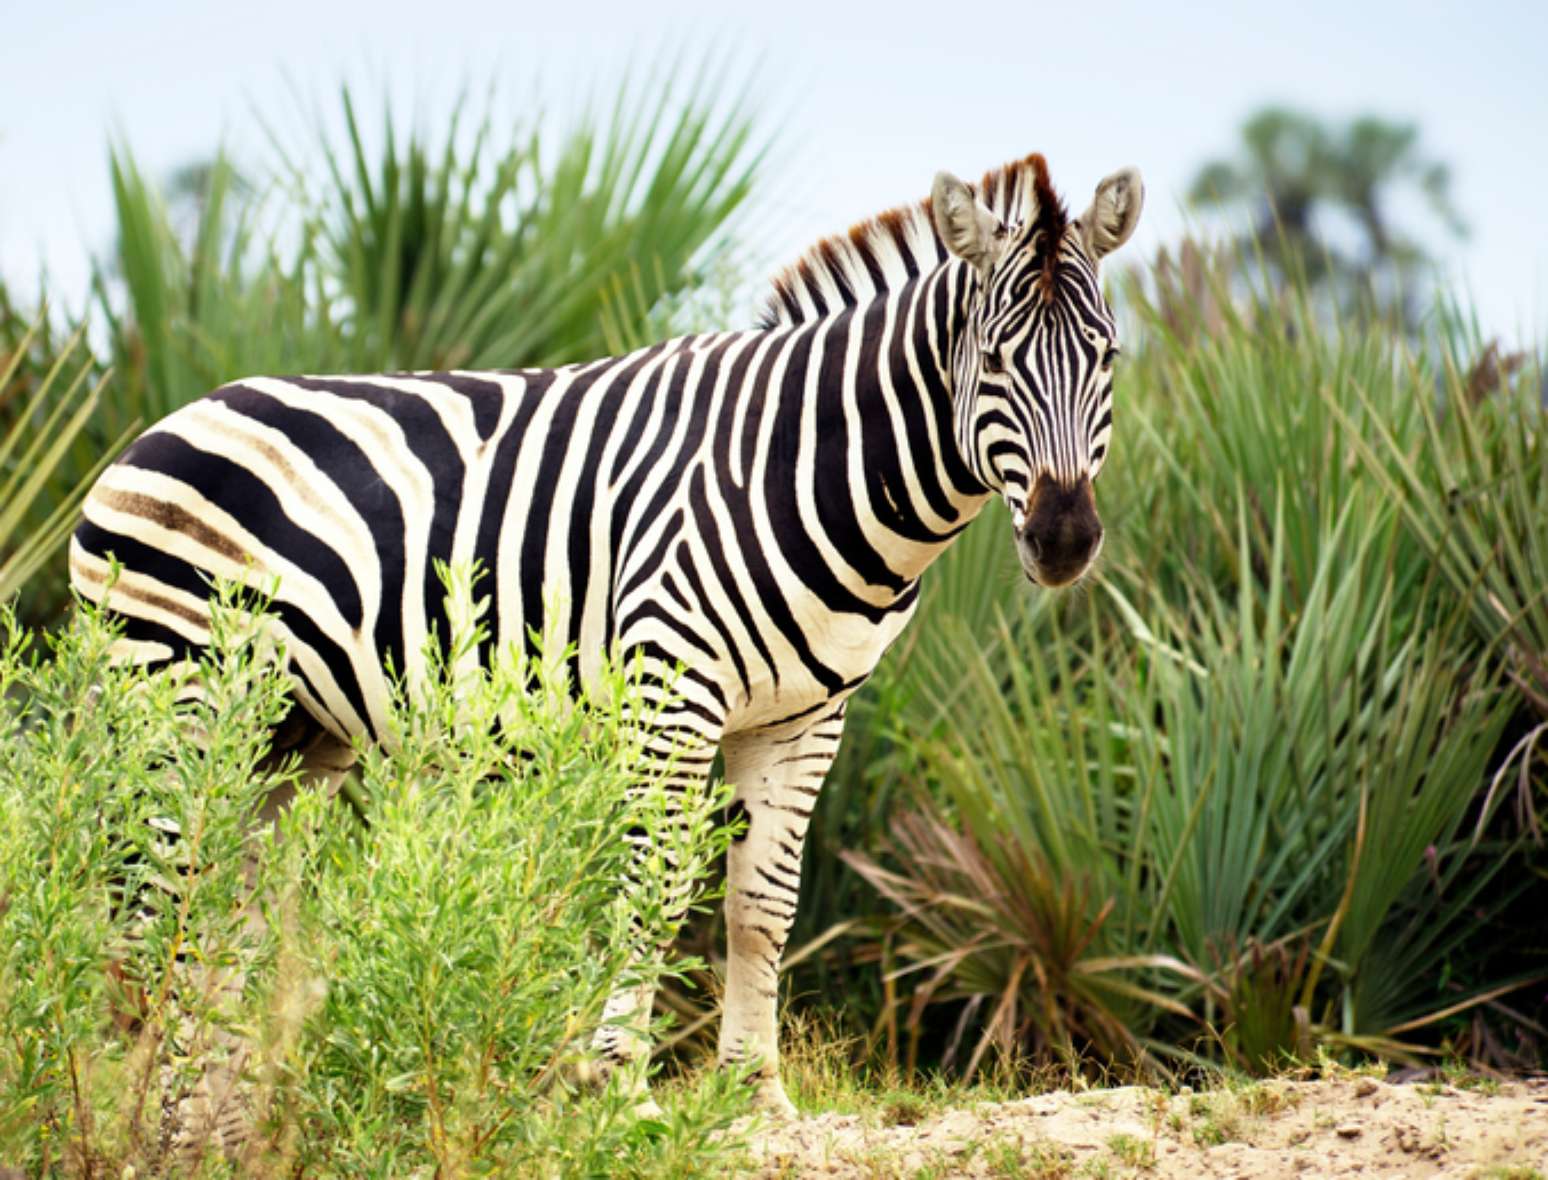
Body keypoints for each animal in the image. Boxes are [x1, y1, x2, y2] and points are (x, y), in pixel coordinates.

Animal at [69, 152, 1143, 1115]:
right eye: (994, 362)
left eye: (1110, 358)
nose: (1063, 539)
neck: (810, 467)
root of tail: (154, 427)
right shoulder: (673, 690)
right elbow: (655, 889)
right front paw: (617, 1084)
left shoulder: (804, 717)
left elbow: (762, 905)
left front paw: (755, 1094)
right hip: (178, 697)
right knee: (155, 897)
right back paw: (135, 1107)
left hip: (289, 736)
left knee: (223, 910)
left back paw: (211, 1113)